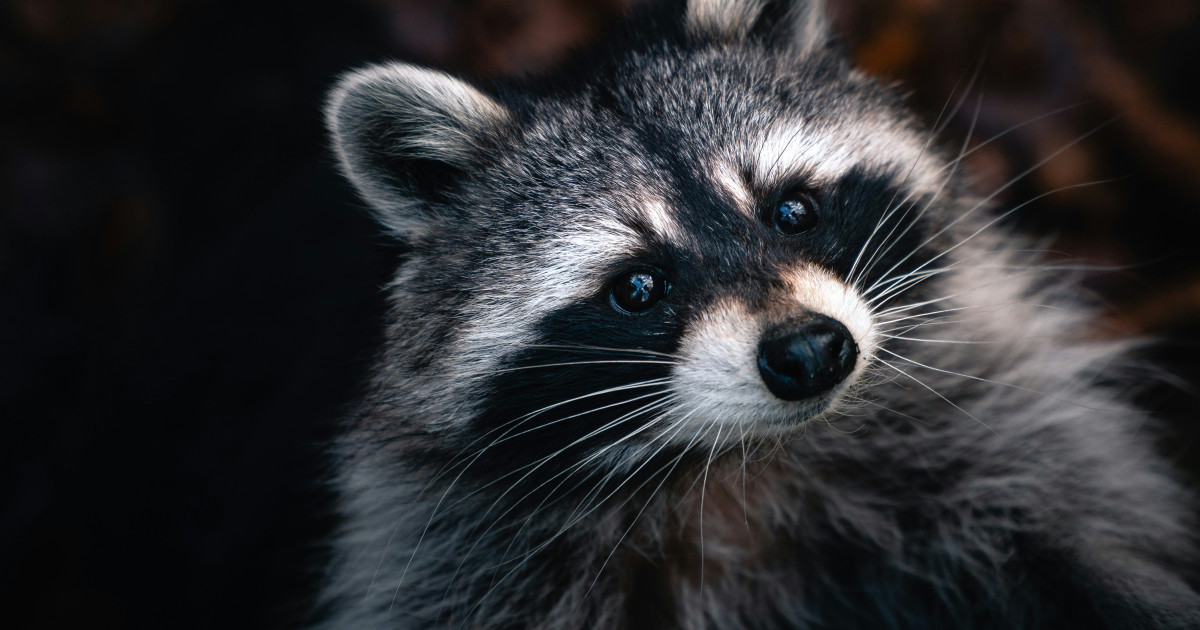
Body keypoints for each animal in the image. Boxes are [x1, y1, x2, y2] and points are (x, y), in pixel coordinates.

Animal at [313, 0, 1200, 627]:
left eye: (793, 210)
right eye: (638, 288)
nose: (811, 353)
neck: (738, 458)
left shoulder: (996, 433)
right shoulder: (459, 559)